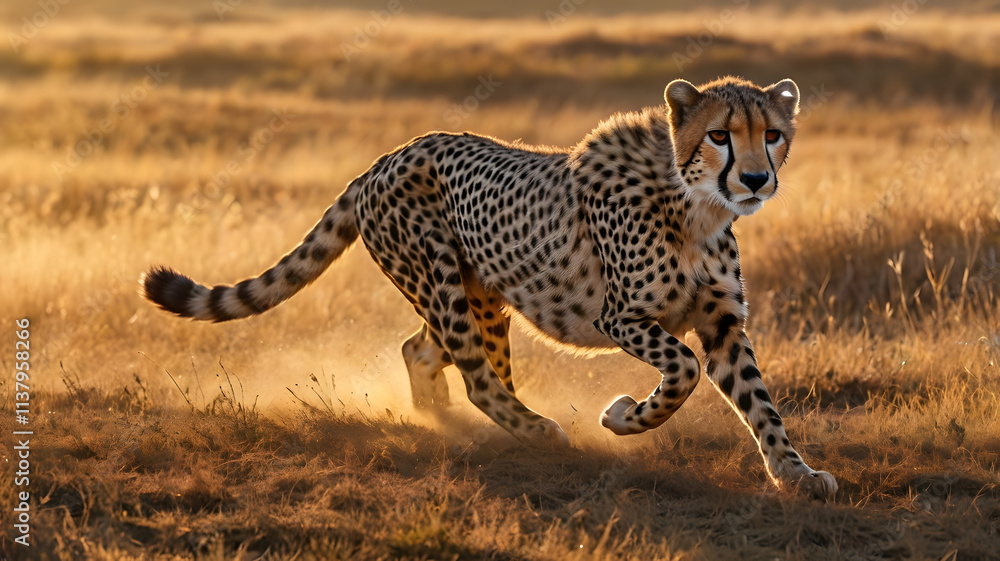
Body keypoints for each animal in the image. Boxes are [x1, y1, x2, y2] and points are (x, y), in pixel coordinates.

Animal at [142, 76, 838, 500]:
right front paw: (622, 416)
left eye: (771, 134)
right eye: (719, 134)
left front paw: (796, 473)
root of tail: (392, 153)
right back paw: (533, 430)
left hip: (481, 297)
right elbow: (683, 369)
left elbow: (759, 403)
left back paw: (447, 420)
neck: (697, 207)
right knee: (476, 374)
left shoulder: (723, 323)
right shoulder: (622, 317)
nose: (755, 179)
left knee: (423, 350)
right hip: (442, 279)